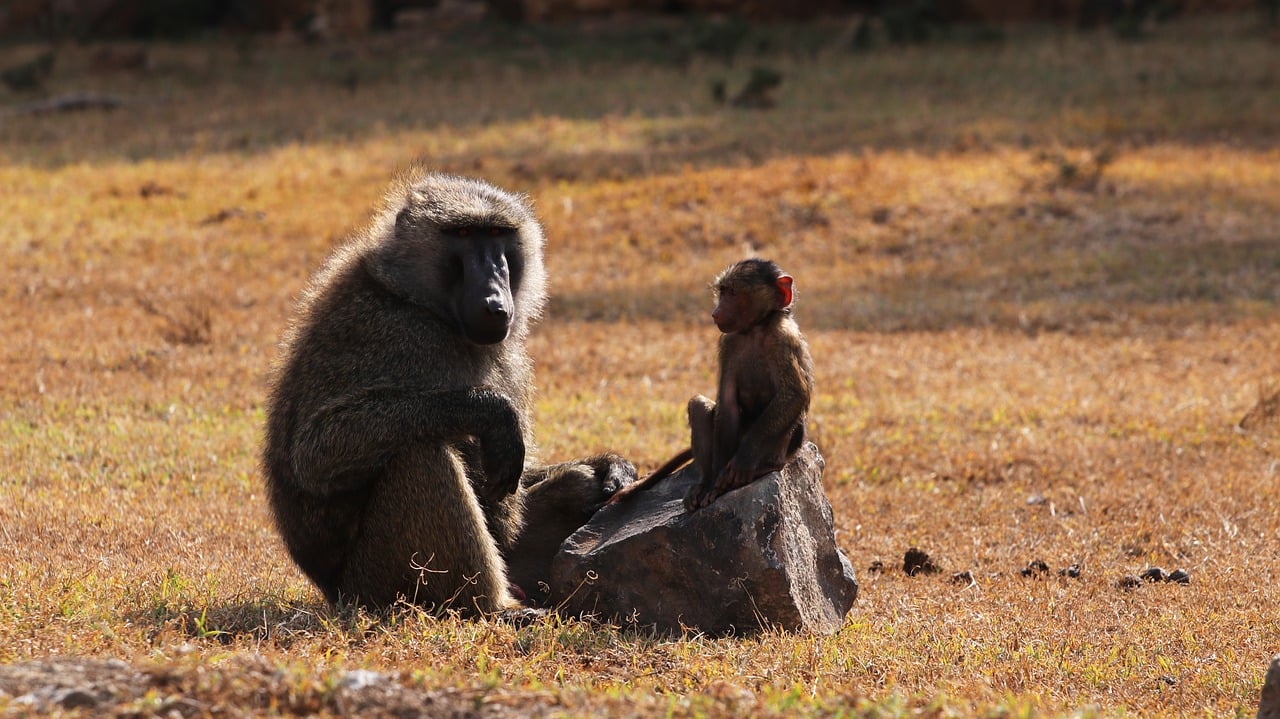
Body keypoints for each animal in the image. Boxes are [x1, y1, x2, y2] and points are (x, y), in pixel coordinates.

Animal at [263, 168, 636, 616]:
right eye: (462, 233)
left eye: (496, 234)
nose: (494, 295)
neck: (425, 305)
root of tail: (333, 592)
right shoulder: (385, 331)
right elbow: (316, 453)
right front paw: (492, 413)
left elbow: (519, 472)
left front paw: (612, 467)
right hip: (377, 584)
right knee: (422, 454)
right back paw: (497, 609)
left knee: (573, 485)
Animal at [607, 258, 813, 511]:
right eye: (722, 292)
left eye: (733, 293)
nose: (716, 312)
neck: (756, 329)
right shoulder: (728, 343)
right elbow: (726, 402)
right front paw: (714, 484)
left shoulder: (784, 340)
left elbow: (794, 394)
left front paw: (743, 461)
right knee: (699, 405)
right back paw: (705, 482)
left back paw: (765, 467)